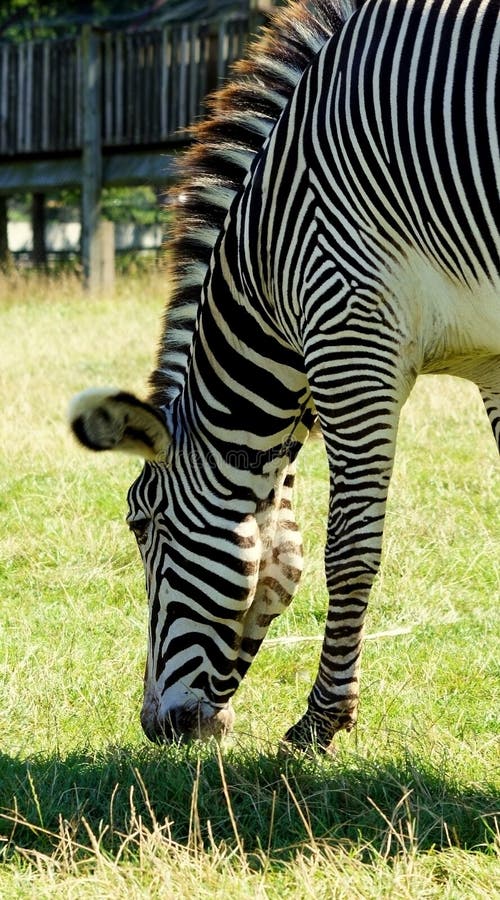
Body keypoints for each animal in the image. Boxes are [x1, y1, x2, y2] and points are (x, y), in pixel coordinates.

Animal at [70, 0, 499, 752]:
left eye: (141, 525)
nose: (157, 728)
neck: (269, 258)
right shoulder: (492, 360)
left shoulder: (348, 330)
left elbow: (349, 548)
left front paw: (320, 722)